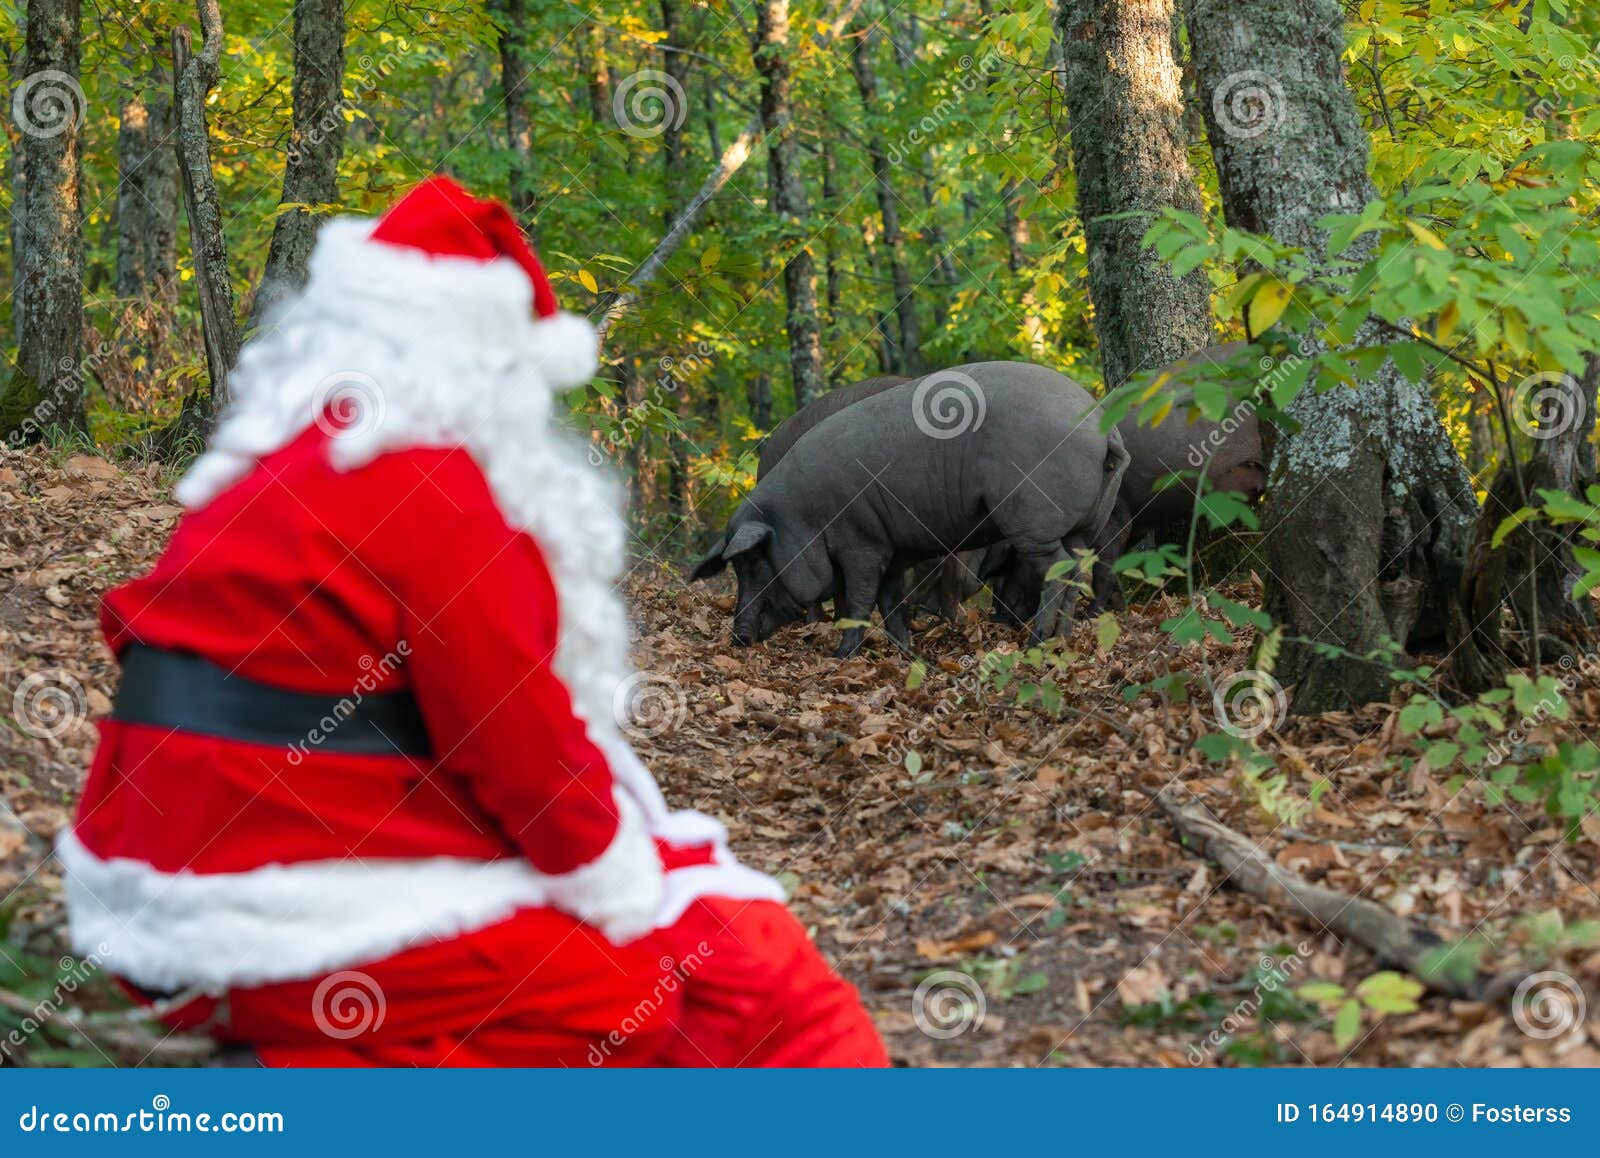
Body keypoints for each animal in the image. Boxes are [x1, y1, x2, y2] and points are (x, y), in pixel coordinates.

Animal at [692, 362, 1130, 656]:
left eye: (753, 563)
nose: (738, 636)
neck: (804, 516)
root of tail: (1101, 428)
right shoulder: (892, 548)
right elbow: (889, 603)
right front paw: (907, 653)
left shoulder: (861, 544)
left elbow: (861, 599)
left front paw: (841, 655)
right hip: (1081, 526)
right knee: (1078, 568)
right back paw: (1061, 639)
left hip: (1034, 524)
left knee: (1061, 571)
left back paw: (1035, 644)